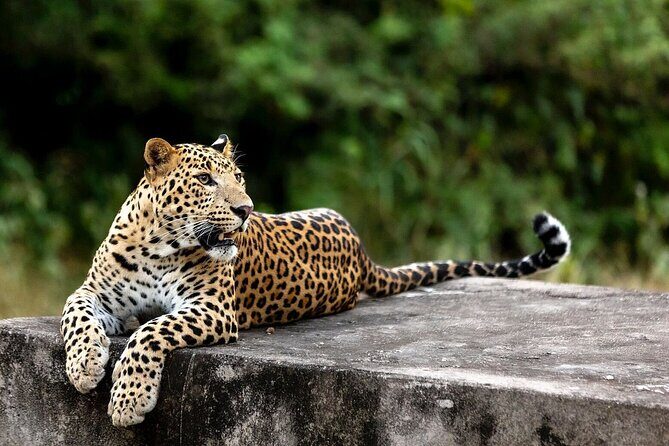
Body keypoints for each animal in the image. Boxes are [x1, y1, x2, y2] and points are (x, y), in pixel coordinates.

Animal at [60, 134, 571, 427]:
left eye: (239, 176)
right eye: (205, 179)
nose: (246, 209)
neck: (157, 243)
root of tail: (362, 249)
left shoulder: (213, 308)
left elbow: (151, 331)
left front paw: (128, 400)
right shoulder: (97, 293)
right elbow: (76, 314)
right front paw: (85, 365)